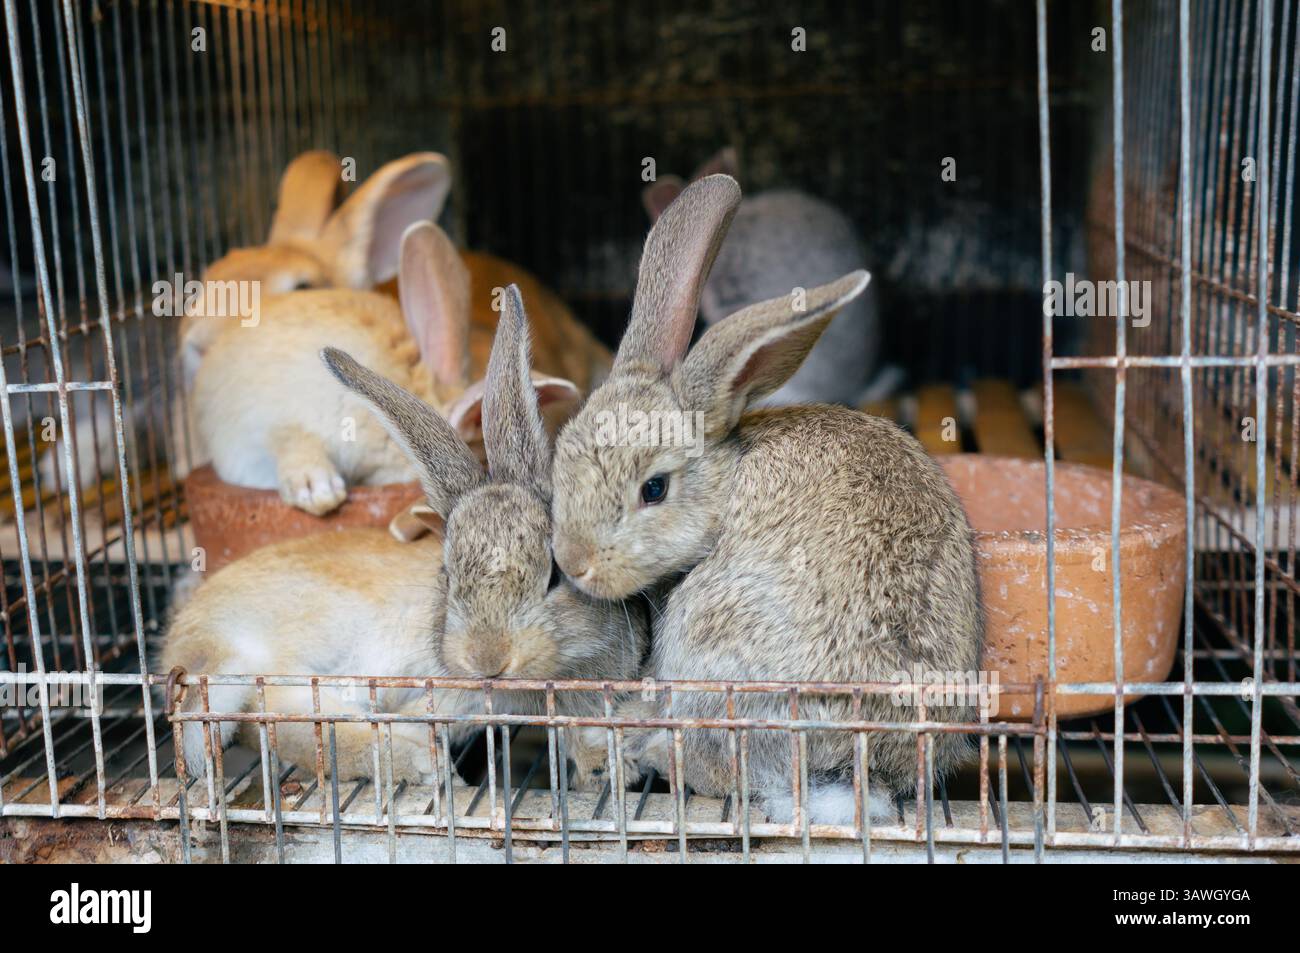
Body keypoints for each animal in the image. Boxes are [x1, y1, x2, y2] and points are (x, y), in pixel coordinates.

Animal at [159, 288, 647, 787]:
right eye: (447, 576)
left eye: (554, 576)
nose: (486, 660)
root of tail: (194, 638)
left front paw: (608, 766)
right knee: (296, 718)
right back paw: (418, 759)